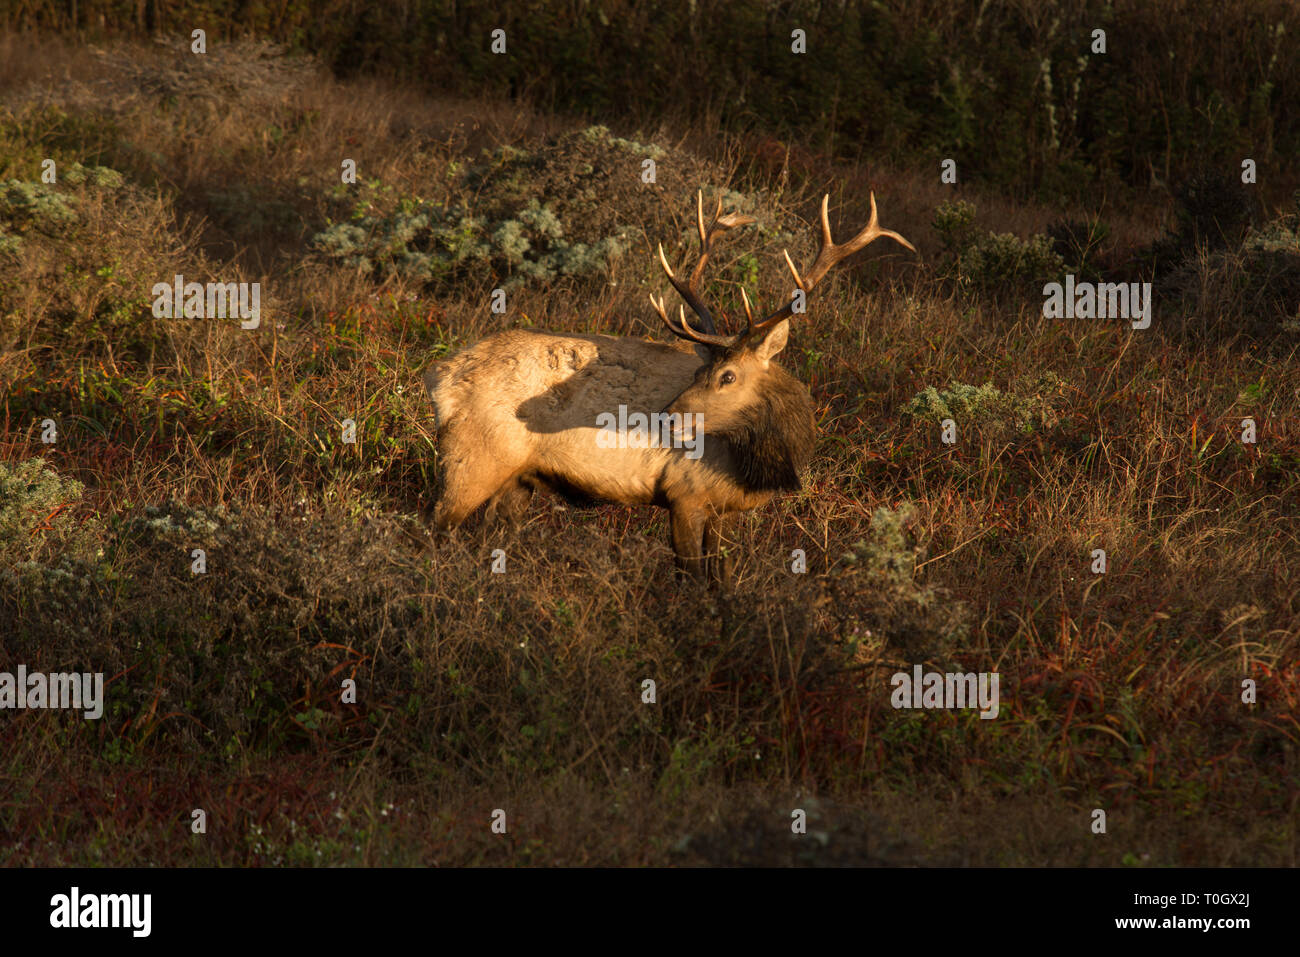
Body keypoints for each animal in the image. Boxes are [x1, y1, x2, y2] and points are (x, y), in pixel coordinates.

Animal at [422, 191, 914, 584]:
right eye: (699, 373)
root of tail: (439, 376)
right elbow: (693, 580)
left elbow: (724, 582)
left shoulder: (723, 511)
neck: (760, 464)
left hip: (517, 479)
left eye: (727, 375)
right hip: (472, 459)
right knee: (434, 527)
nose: (666, 419)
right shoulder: (684, 493)